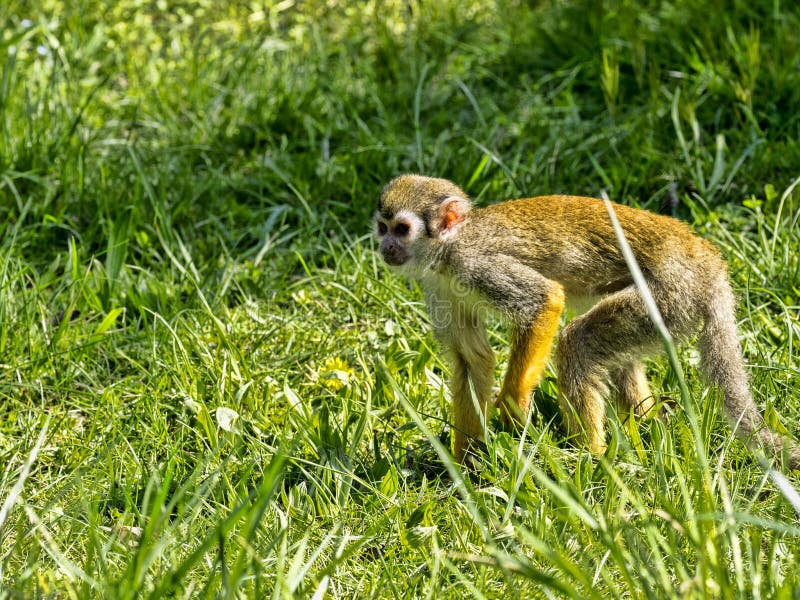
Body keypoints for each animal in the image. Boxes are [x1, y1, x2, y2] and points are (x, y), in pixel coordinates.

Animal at [375, 174, 800, 470]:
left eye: (402, 229)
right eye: (382, 227)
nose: (384, 247)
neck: (448, 249)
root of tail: (707, 256)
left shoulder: (475, 263)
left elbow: (544, 301)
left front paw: (511, 404)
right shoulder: (439, 285)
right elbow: (471, 358)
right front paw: (464, 465)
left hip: (671, 292)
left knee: (578, 340)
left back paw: (592, 461)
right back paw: (643, 421)